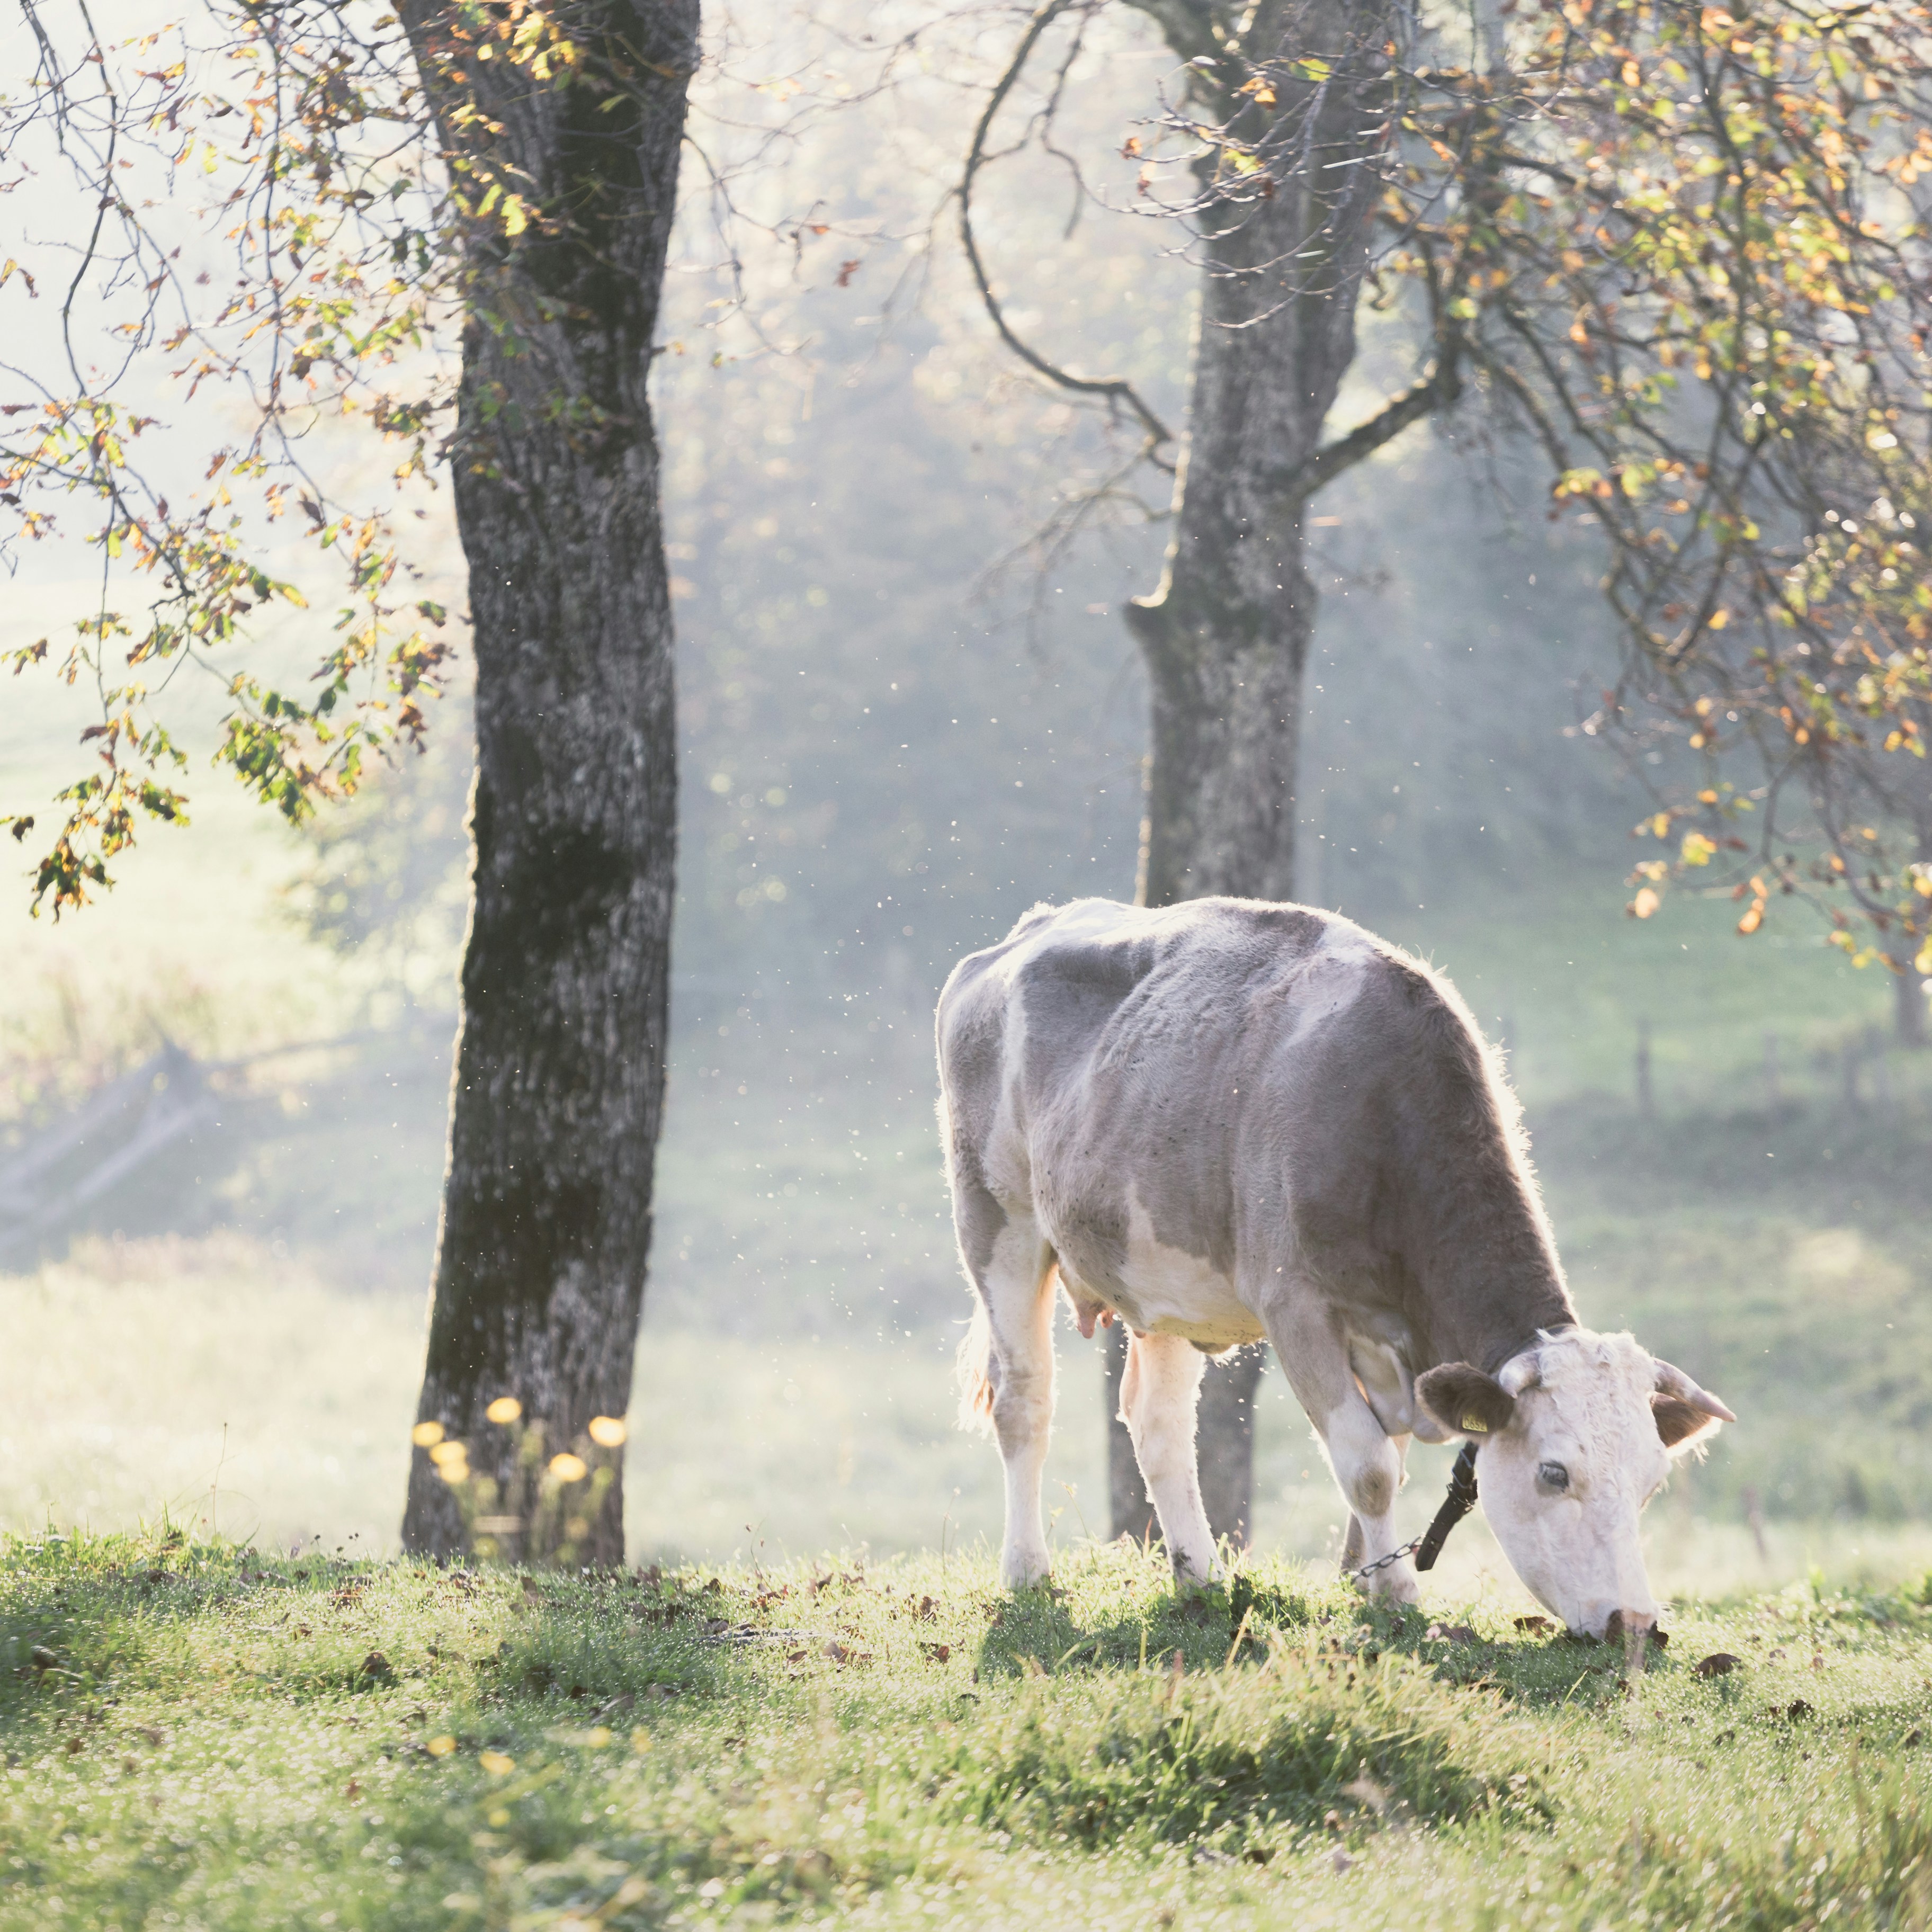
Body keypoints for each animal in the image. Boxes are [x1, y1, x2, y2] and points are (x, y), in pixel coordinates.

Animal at [937, 896, 1735, 1642]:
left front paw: (1361, 1574)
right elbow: (1370, 1464)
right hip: (997, 1218)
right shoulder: (1296, 1305)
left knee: (1156, 1421)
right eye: (1554, 1472)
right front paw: (1397, 1593)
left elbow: (1392, 1453)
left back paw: (1201, 1577)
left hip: (1158, 1270)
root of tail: (1033, 928)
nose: (1636, 1624)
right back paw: (1027, 1570)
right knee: (1025, 1399)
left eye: (1652, 1483)